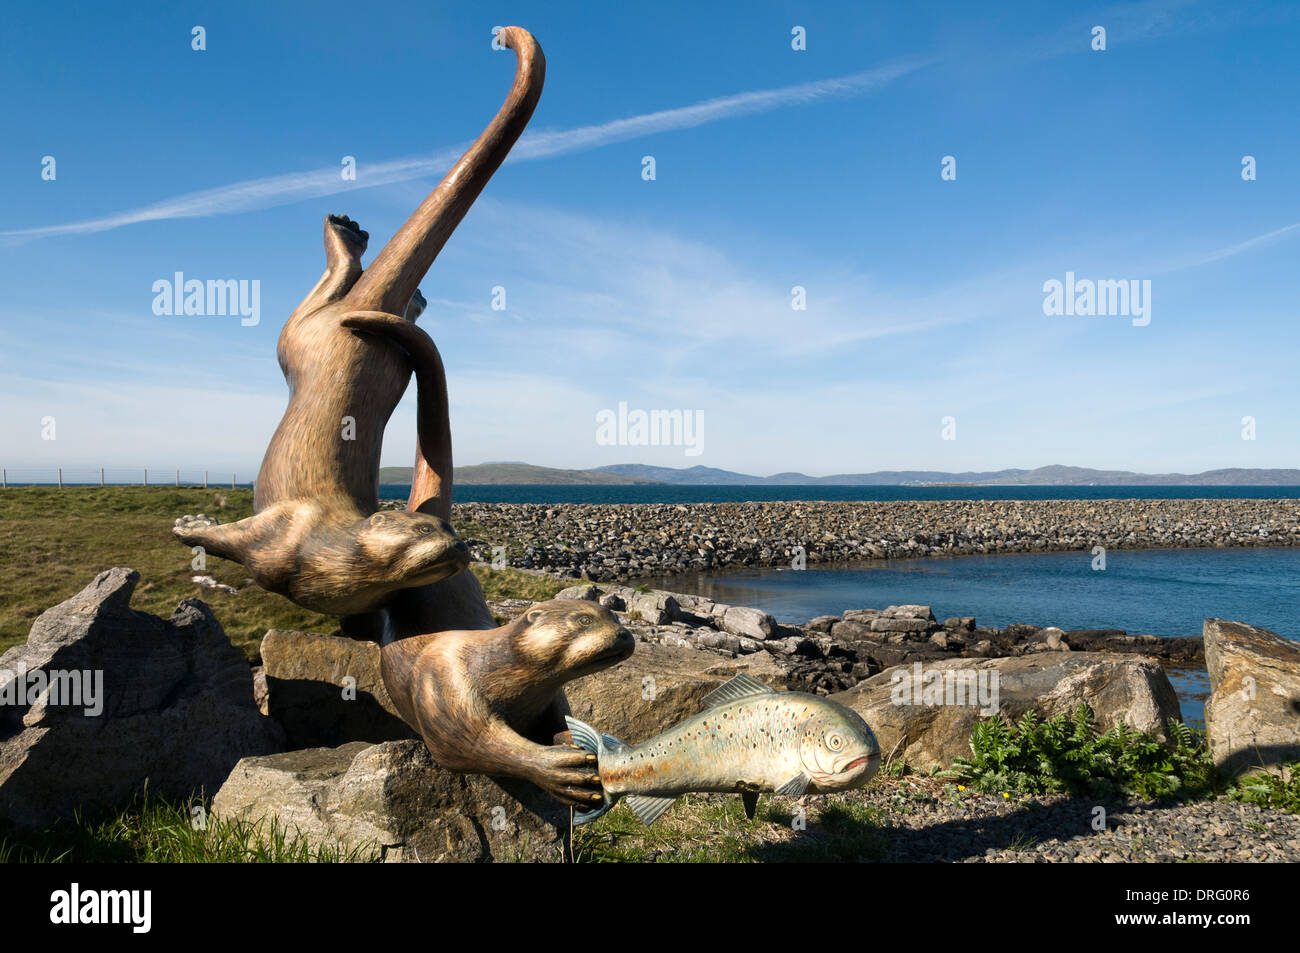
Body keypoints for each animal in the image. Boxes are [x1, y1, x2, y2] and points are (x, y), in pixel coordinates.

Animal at [380, 600, 635, 806]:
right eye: (584, 620)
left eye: (616, 618)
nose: (623, 634)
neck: (490, 665)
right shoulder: (446, 685)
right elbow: (470, 742)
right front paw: (560, 770)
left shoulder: (553, 695)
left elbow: (561, 720)